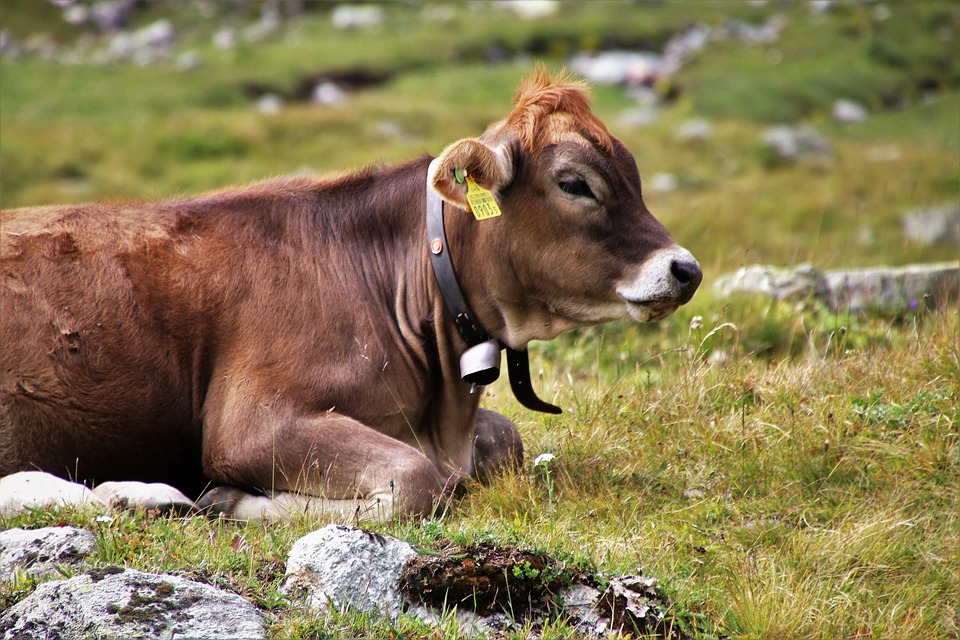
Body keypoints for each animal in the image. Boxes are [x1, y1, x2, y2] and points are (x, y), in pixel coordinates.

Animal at [0, 68, 701, 521]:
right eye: (575, 183)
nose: (685, 268)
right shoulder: (251, 421)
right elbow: (420, 483)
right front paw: (228, 497)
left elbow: (505, 441)